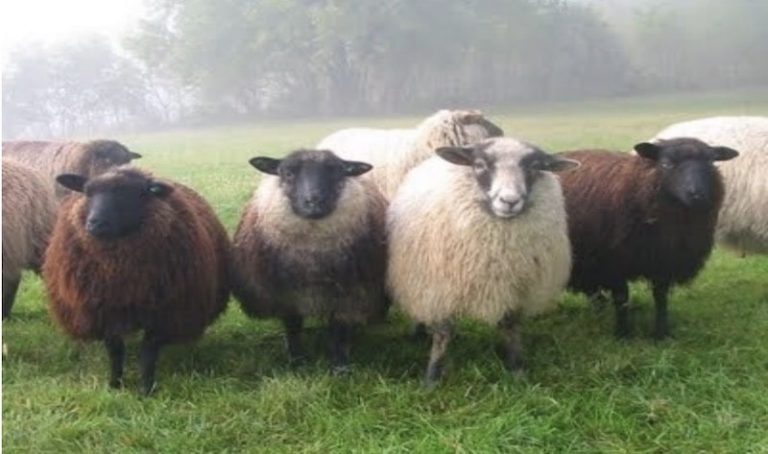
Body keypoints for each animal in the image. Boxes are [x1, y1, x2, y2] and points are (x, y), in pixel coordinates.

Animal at [43, 166, 230, 395]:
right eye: (87, 192)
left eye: (131, 193)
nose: (95, 223)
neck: (120, 273)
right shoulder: (105, 311)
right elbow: (115, 350)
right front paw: (115, 384)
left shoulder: (162, 314)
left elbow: (148, 353)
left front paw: (146, 388)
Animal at [231, 149, 388, 373]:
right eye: (288, 173)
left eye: (336, 172)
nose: (313, 202)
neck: (312, 259)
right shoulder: (287, 295)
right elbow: (293, 328)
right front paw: (297, 361)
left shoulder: (348, 294)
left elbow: (340, 331)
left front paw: (340, 366)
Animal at [387, 137, 578, 386]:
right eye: (479, 165)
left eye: (535, 167)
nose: (509, 201)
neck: (495, 248)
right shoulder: (440, 289)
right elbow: (443, 333)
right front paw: (432, 378)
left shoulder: (514, 288)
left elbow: (510, 326)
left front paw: (517, 369)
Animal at [559, 138, 739, 339]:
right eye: (666, 164)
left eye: (710, 162)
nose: (697, 194)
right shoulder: (614, 262)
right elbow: (622, 298)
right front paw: (623, 334)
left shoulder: (663, 261)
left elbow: (660, 298)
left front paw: (662, 334)